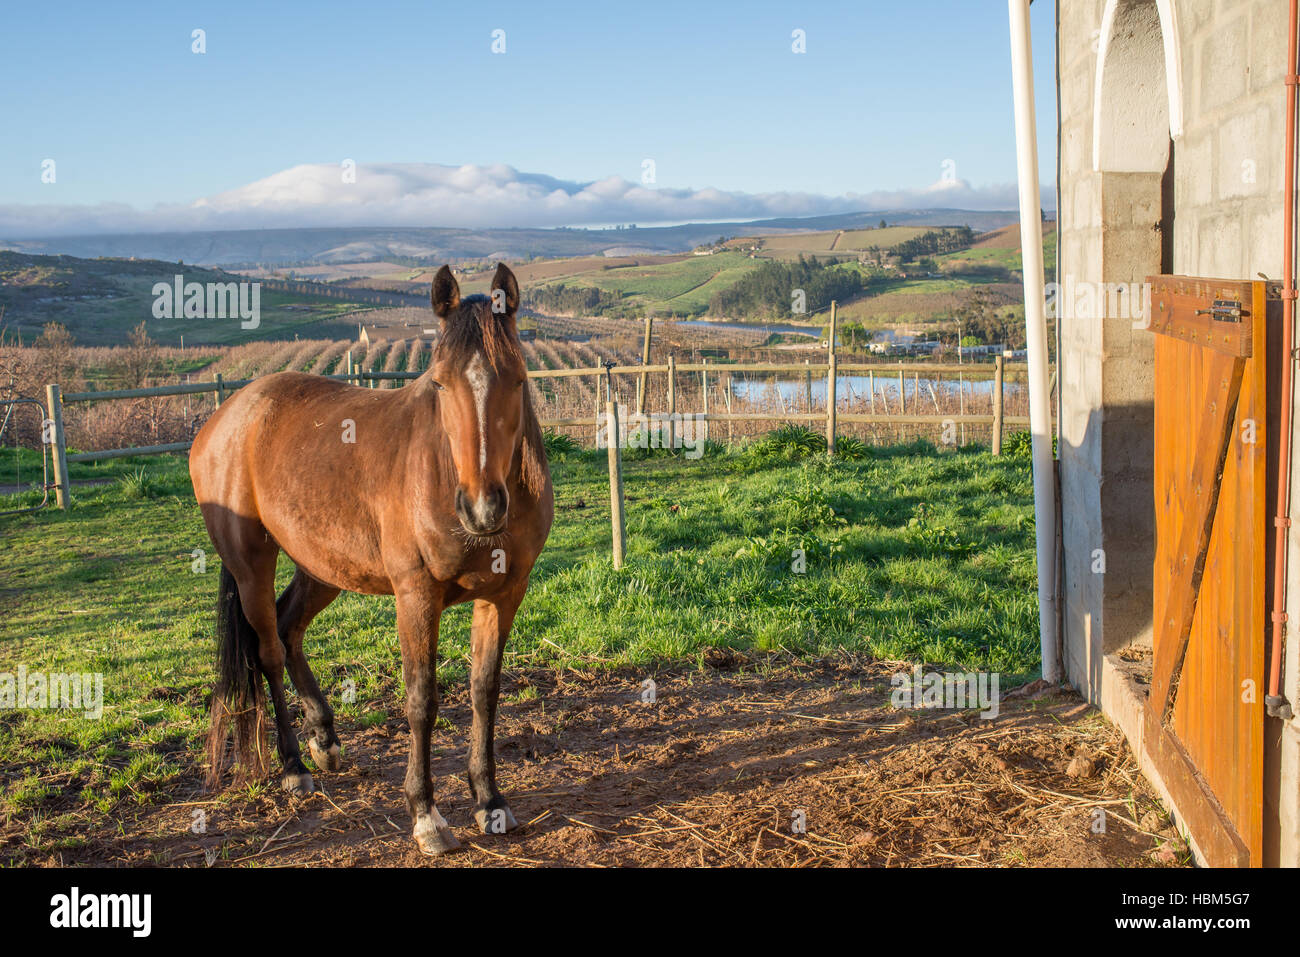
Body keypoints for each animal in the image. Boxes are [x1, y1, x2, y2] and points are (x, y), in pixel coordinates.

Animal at [190, 262, 553, 856]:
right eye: (440, 383)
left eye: (519, 378)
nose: (481, 507)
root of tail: (228, 415)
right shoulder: (416, 597)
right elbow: (421, 699)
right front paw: (426, 815)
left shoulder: (504, 594)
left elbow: (484, 691)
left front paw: (489, 800)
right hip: (251, 567)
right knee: (269, 650)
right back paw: (294, 766)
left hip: (323, 567)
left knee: (290, 628)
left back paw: (324, 738)